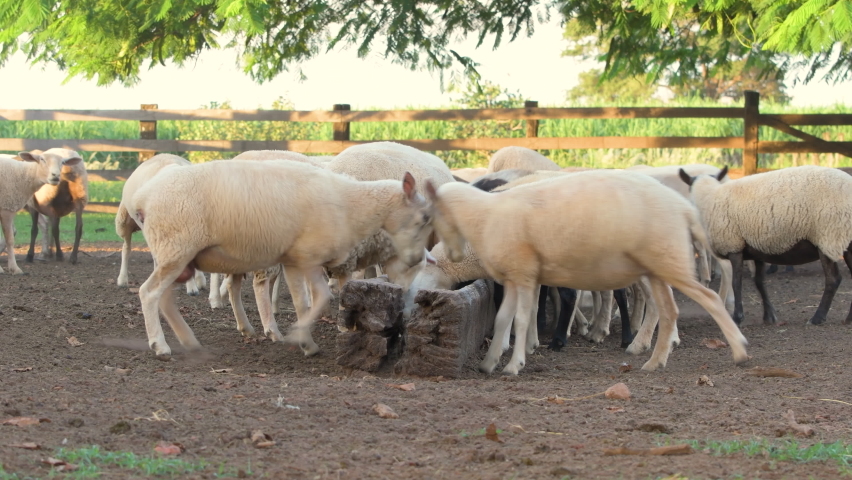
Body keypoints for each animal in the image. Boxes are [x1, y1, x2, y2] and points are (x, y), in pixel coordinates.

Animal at [131, 159, 432, 358]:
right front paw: (298, 336)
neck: (352, 204)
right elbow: (322, 297)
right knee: (149, 292)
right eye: (424, 218)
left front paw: (306, 343)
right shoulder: (310, 258)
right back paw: (160, 346)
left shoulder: (295, 260)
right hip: (175, 249)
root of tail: (143, 197)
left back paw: (189, 341)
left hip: (178, 257)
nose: (416, 257)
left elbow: (303, 302)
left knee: (165, 299)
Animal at [424, 169, 748, 374]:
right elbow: (506, 316)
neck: (486, 215)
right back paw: (651, 358)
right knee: (666, 310)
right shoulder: (519, 276)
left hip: (667, 263)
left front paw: (518, 359)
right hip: (656, 268)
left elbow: (524, 317)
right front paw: (495, 359)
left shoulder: (524, 274)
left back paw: (739, 351)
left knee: (707, 298)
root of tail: (684, 208)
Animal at [680, 165, 852, 326]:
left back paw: (817, 318)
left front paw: (738, 317)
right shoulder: (756, 250)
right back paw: (848, 319)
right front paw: (769, 316)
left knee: (833, 279)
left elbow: (737, 283)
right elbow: (759, 282)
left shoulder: (734, 247)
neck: (709, 198)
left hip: (828, 237)